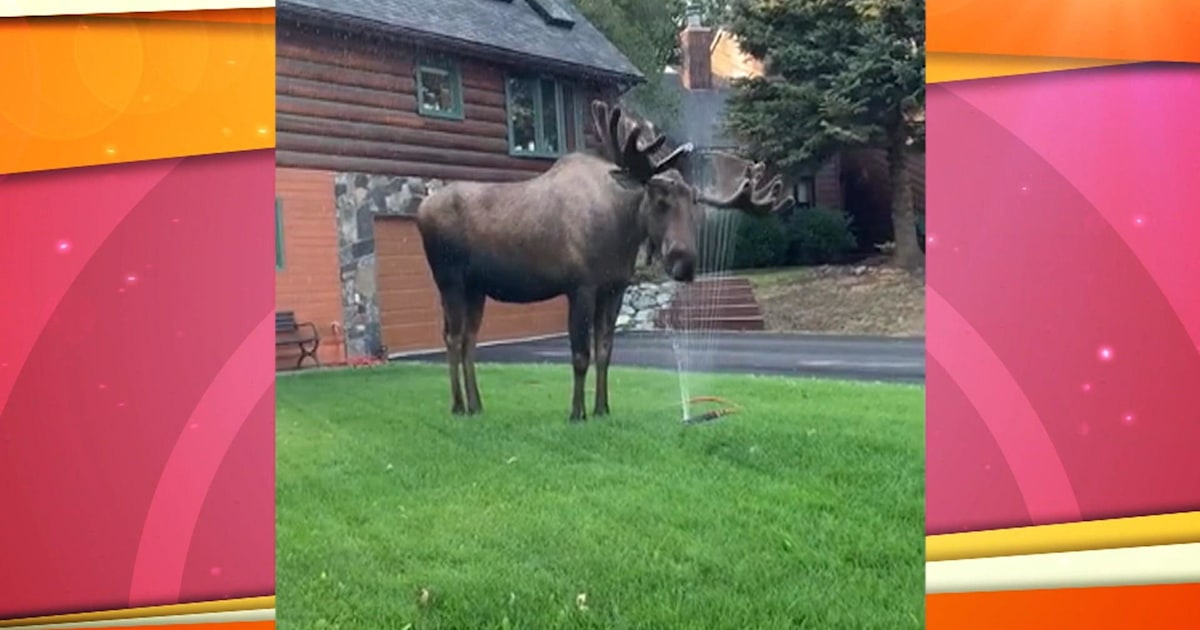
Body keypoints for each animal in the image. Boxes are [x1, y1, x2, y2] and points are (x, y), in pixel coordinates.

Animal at [415, 100, 794, 422]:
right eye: (659, 198)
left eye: (695, 204)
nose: (684, 263)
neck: (621, 233)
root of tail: (420, 210)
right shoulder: (580, 286)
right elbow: (580, 354)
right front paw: (577, 413)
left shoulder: (614, 288)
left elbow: (604, 351)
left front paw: (602, 408)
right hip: (448, 280)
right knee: (451, 337)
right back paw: (458, 406)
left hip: (477, 288)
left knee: (468, 340)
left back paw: (476, 404)